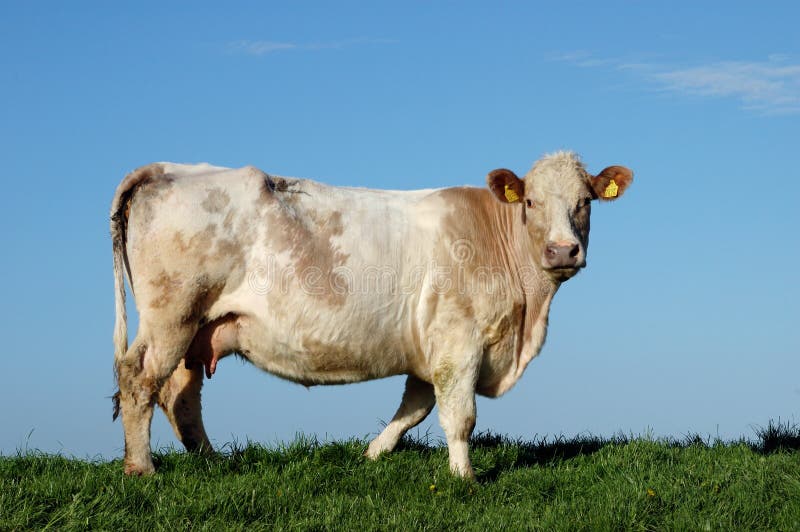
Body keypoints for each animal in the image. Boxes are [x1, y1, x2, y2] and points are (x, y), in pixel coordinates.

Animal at [110, 151, 632, 478]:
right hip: (171, 315)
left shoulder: (428, 348)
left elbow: (414, 408)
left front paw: (373, 454)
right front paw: (464, 478)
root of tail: (169, 168)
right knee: (138, 380)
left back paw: (212, 462)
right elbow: (458, 415)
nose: (563, 250)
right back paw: (142, 468)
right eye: (530, 201)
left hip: (196, 327)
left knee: (181, 396)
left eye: (585, 202)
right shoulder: (458, 340)